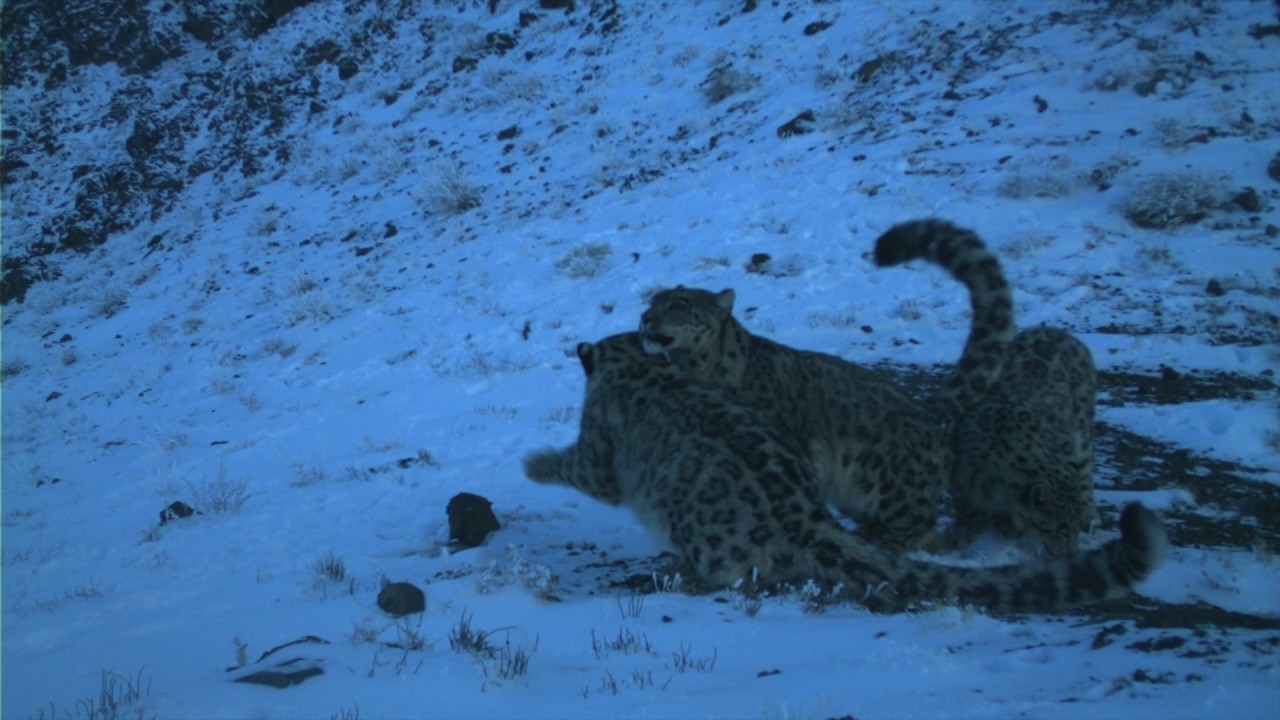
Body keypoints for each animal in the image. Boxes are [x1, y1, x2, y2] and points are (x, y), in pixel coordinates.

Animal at [636, 219, 1015, 552]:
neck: (699, 369)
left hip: (895, 485)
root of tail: (926, 409)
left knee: (917, 524)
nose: (644, 318)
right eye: (653, 301)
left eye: (680, 304)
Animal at [946, 326, 1100, 558]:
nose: (1071, 553)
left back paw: (1090, 514)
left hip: (1082, 431)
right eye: (1061, 529)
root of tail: (1058, 331)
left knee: (1085, 469)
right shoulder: (962, 486)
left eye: (1072, 527)